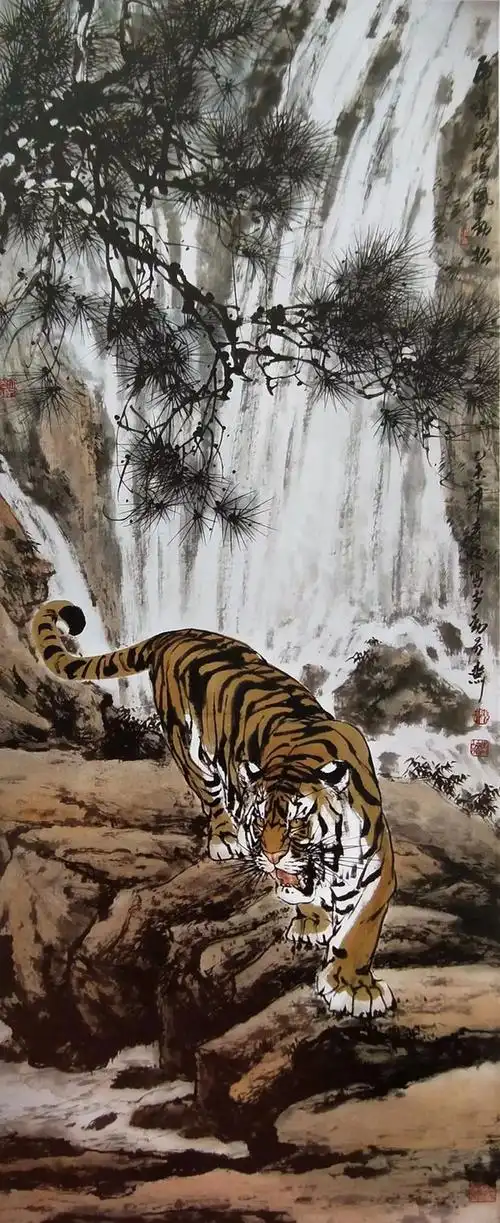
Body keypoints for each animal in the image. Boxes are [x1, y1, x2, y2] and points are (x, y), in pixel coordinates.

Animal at [30, 599, 397, 1018]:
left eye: (298, 822)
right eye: (258, 823)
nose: (271, 857)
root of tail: (176, 633)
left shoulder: (376, 868)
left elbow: (358, 931)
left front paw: (354, 987)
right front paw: (317, 931)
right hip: (188, 748)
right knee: (211, 797)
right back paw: (224, 839)